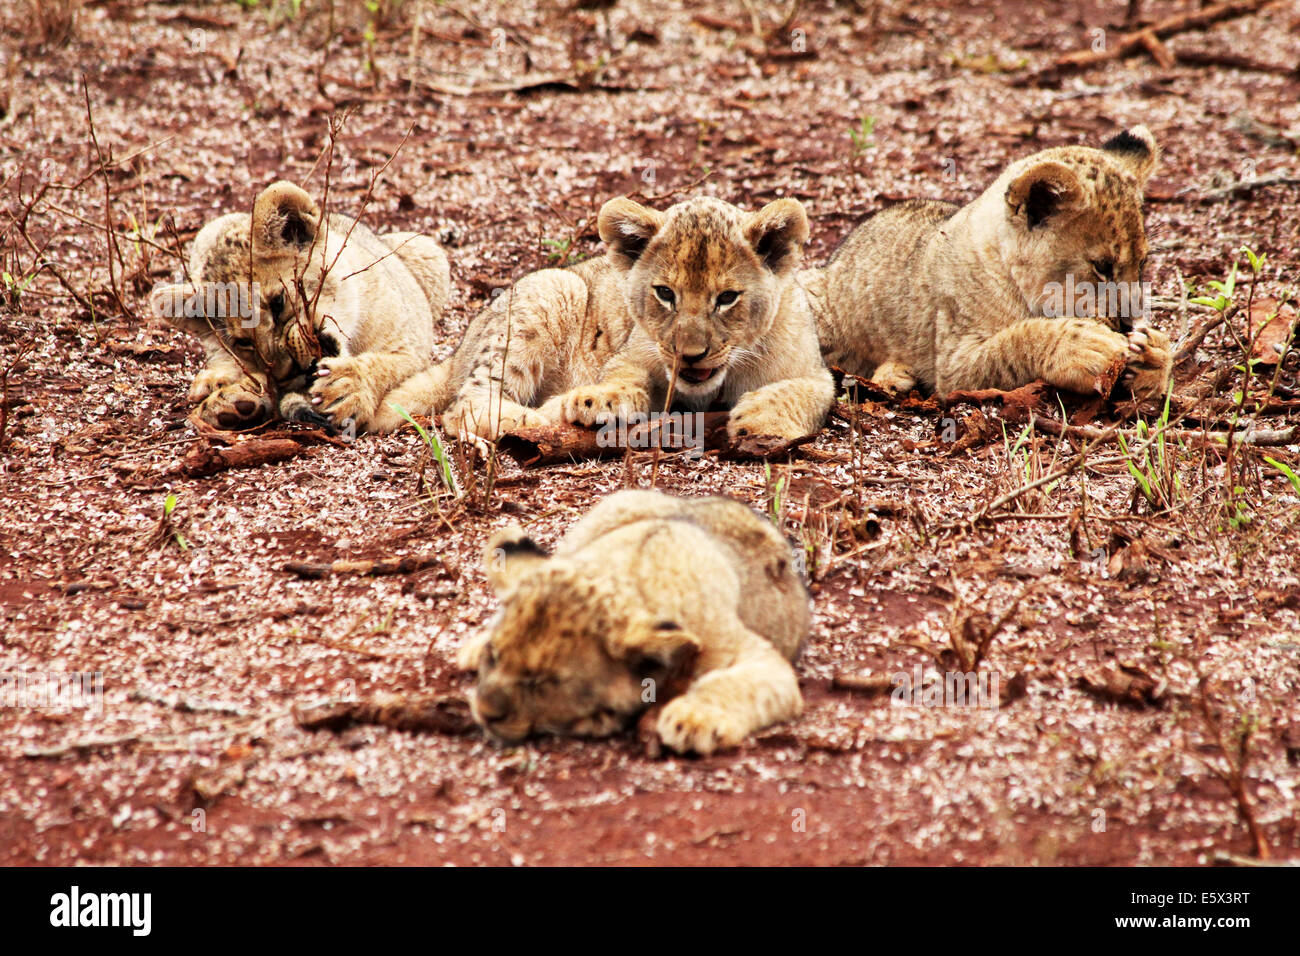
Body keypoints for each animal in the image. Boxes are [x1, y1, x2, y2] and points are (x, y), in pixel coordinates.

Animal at [149, 181, 450, 433]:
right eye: (243, 342)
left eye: (278, 303)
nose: (288, 371)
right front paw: (234, 399)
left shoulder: (411, 345)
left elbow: (388, 366)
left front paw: (348, 386)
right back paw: (216, 385)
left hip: (427, 251)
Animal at [382, 195, 834, 443]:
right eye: (665, 293)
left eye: (726, 298)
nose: (688, 355)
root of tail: (458, 351)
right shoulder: (634, 354)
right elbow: (624, 381)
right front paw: (589, 401)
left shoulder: (815, 371)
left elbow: (802, 392)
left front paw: (760, 420)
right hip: (556, 285)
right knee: (466, 403)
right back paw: (535, 419)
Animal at [456, 490, 810, 755]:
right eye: (493, 656)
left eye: (542, 682)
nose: (484, 711)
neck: (630, 576)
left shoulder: (761, 659)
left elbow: (730, 684)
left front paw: (692, 719)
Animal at [805, 126, 1173, 400]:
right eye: (1102, 267)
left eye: (1142, 263)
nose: (1129, 323)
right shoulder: (953, 365)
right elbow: (1014, 343)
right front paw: (1083, 346)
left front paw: (1152, 354)